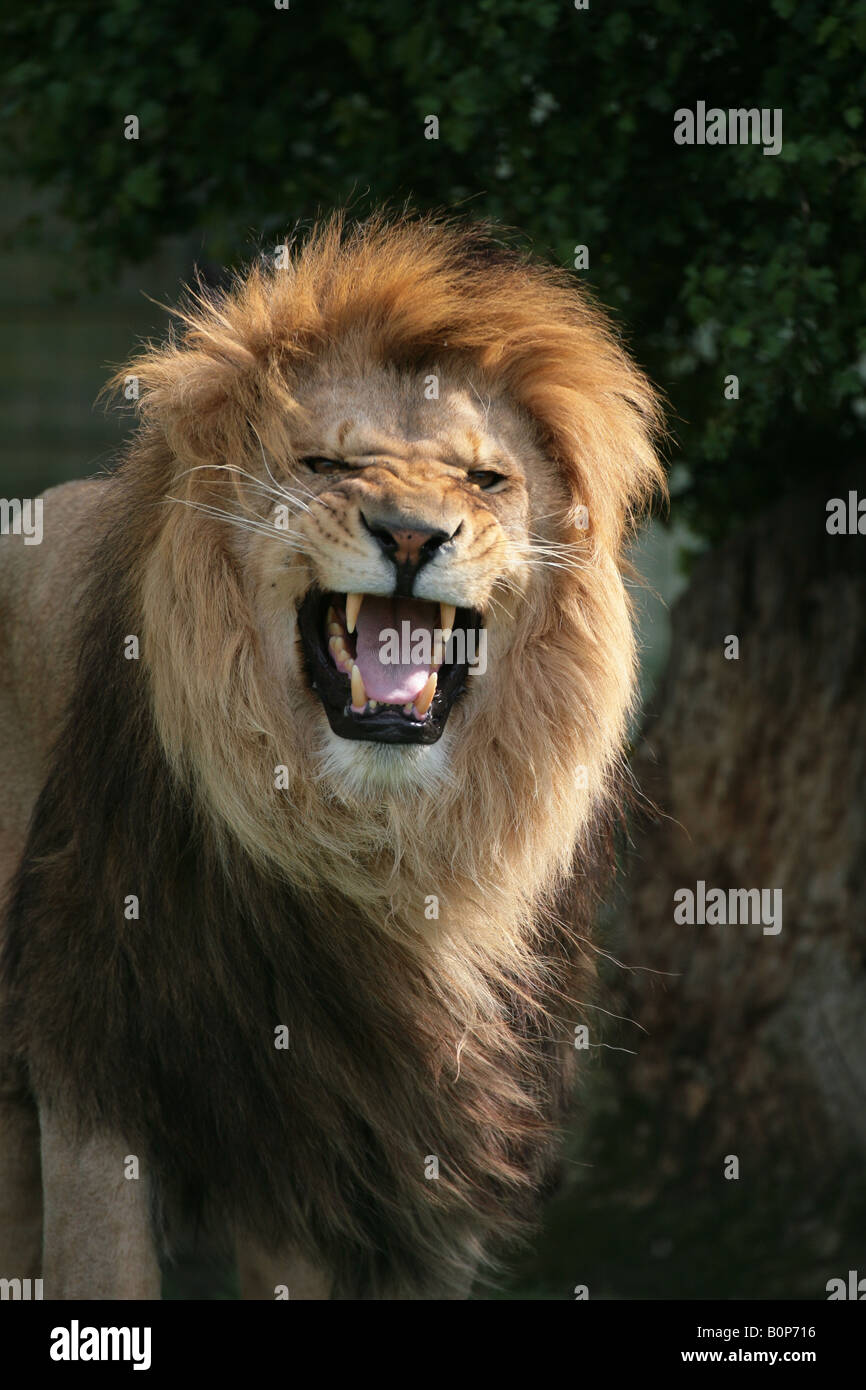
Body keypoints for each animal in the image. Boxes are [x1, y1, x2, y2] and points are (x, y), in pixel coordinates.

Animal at [0, 211, 663, 1299]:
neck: (380, 854)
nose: (411, 536)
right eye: (324, 466)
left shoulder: (370, 1148)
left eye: (485, 479)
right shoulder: (95, 1058)